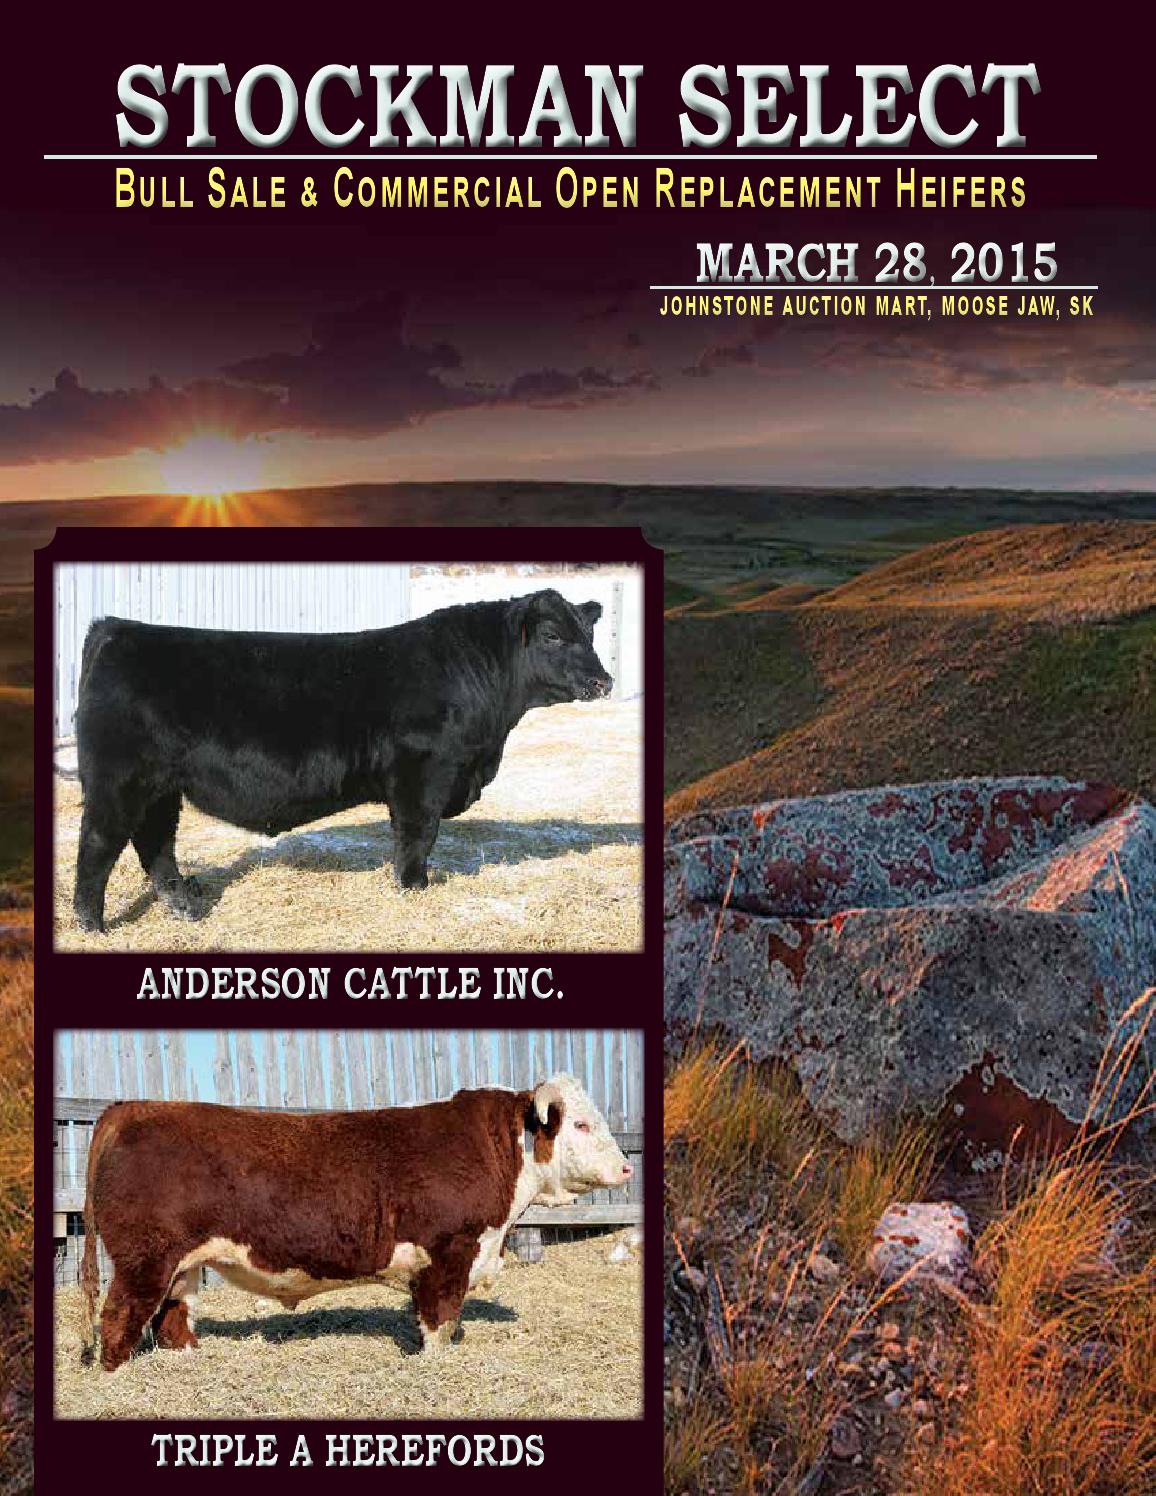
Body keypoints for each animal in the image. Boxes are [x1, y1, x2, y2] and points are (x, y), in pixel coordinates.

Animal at [71, 589, 613, 932]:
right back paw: (92, 925)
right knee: (99, 845)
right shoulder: (421, 772)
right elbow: (418, 833)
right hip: (118, 779)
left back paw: (184, 906)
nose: (604, 681)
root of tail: (117, 629)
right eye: (552, 636)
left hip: (162, 787)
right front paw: (414, 887)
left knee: (156, 844)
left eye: (588, 634)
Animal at [80, 1074, 633, 1370]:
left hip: (181, 1264)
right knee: (120, 1318)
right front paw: (436, 1366)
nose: (627, 1167)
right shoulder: (448, 1255)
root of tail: (129, 1109)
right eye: (581, 1124)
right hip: (143, 1260)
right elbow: (440, 1321)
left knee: (173, 1318)